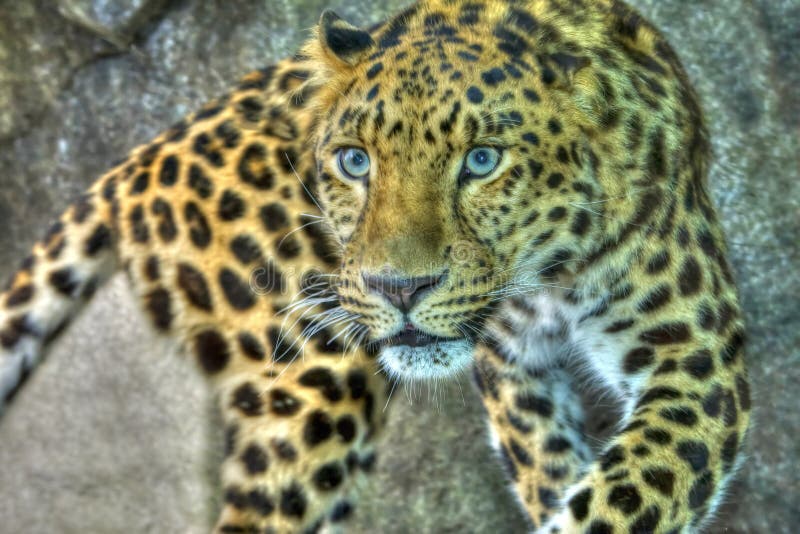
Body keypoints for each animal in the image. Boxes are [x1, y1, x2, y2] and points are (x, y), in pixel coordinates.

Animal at [0, 0, 751, 532]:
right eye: (354, 162)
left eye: (482, 160)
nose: (400, 288)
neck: (548, 280)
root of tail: (136, 160)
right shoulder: (506, 360)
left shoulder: (692, 357)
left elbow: (610, 488)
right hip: (312, 371)